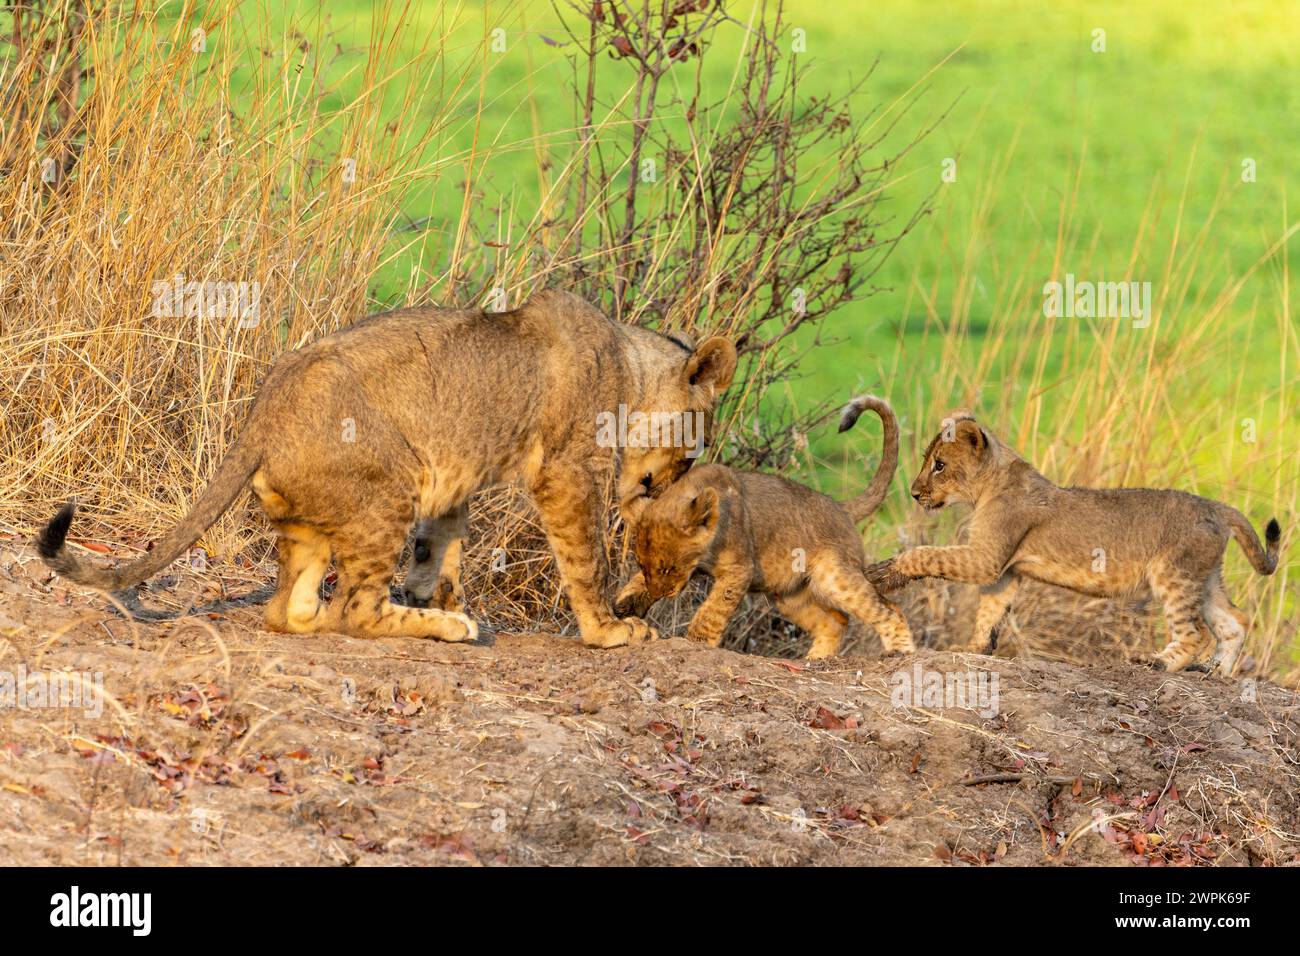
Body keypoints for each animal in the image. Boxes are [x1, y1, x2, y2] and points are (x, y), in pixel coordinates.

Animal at [38, 290, 737, 649]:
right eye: (691, 451)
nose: (673, 484)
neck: (631, 367)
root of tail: (263, 411)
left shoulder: (453, 479)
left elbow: (439, 550)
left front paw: (439, 593)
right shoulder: (568, 472)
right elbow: (587, 559)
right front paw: (610, 630)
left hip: (317, 517)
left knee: (290, 611)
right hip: (388, 489)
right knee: (358, 610)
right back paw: (447, 629)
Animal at [611, 395, 915, 659]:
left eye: (669, 568)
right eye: (643, 565)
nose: (661, 594)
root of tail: (840, 507)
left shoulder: (739, 569)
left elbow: (713, 612)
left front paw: (696, 642)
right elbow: (636, 583)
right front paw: (626, 602)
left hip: (834, 577)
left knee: (888, 608)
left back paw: (902, 651)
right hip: (790, 593)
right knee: (836, 621)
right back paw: (816, 659)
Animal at [867, 413, 1281, 675]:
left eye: (939, 465)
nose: (914, 493)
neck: (988, 485)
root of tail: (1216, 505)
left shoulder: (985, 558)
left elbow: (926, 555)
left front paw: (883, 573)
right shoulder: (1004, 570)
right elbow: (990, 611)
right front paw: (974, 649)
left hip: (1173, 574)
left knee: (1195, 631)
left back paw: (1161, 663)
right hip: (1203, 576)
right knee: (1235, 621)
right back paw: (1216, 671)